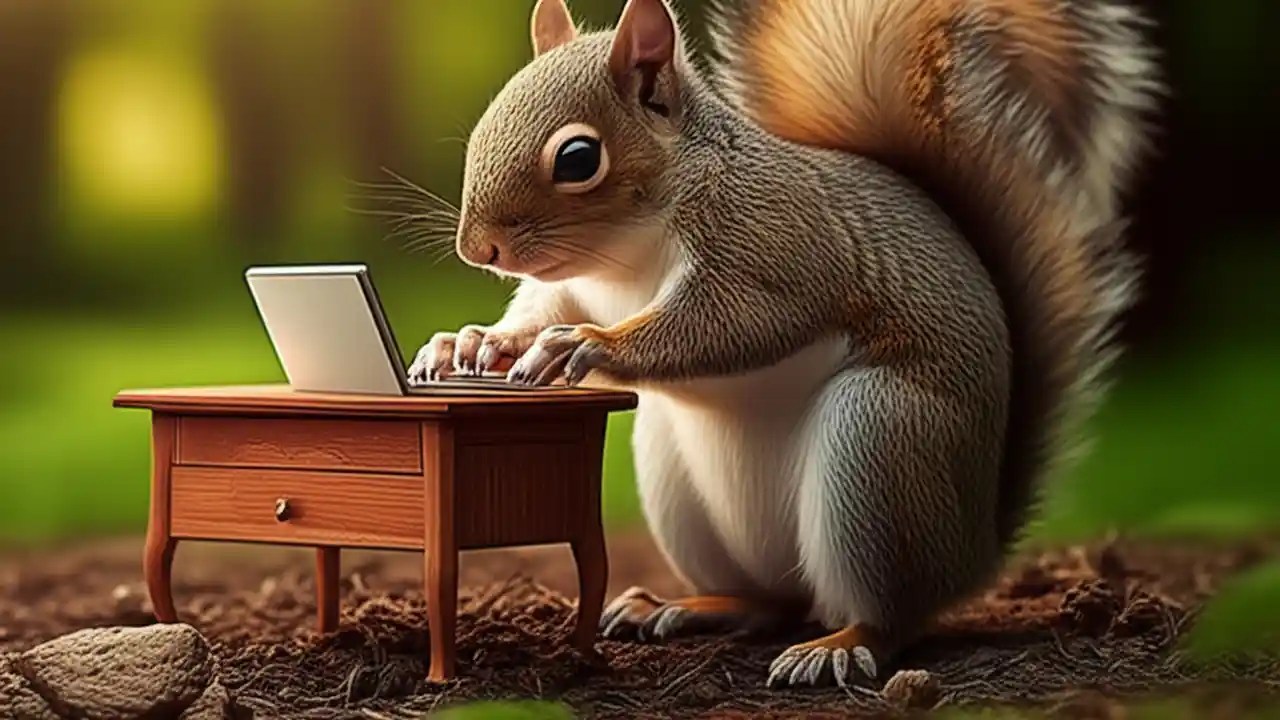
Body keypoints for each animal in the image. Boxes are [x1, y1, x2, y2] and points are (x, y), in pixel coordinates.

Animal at [406, 0, 1160, 688]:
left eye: (578, 158)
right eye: (485, 123)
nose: (477, 248)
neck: (622, 256)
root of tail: (977, 546)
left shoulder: (772, 249)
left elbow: (733, 323)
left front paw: (584, 346)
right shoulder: (572, 288)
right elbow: (537, 313)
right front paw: (470, 343)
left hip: (879, 443)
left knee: (891, 617)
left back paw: (838, 647)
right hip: (678, 473)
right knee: (768, 602)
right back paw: (690, 608)